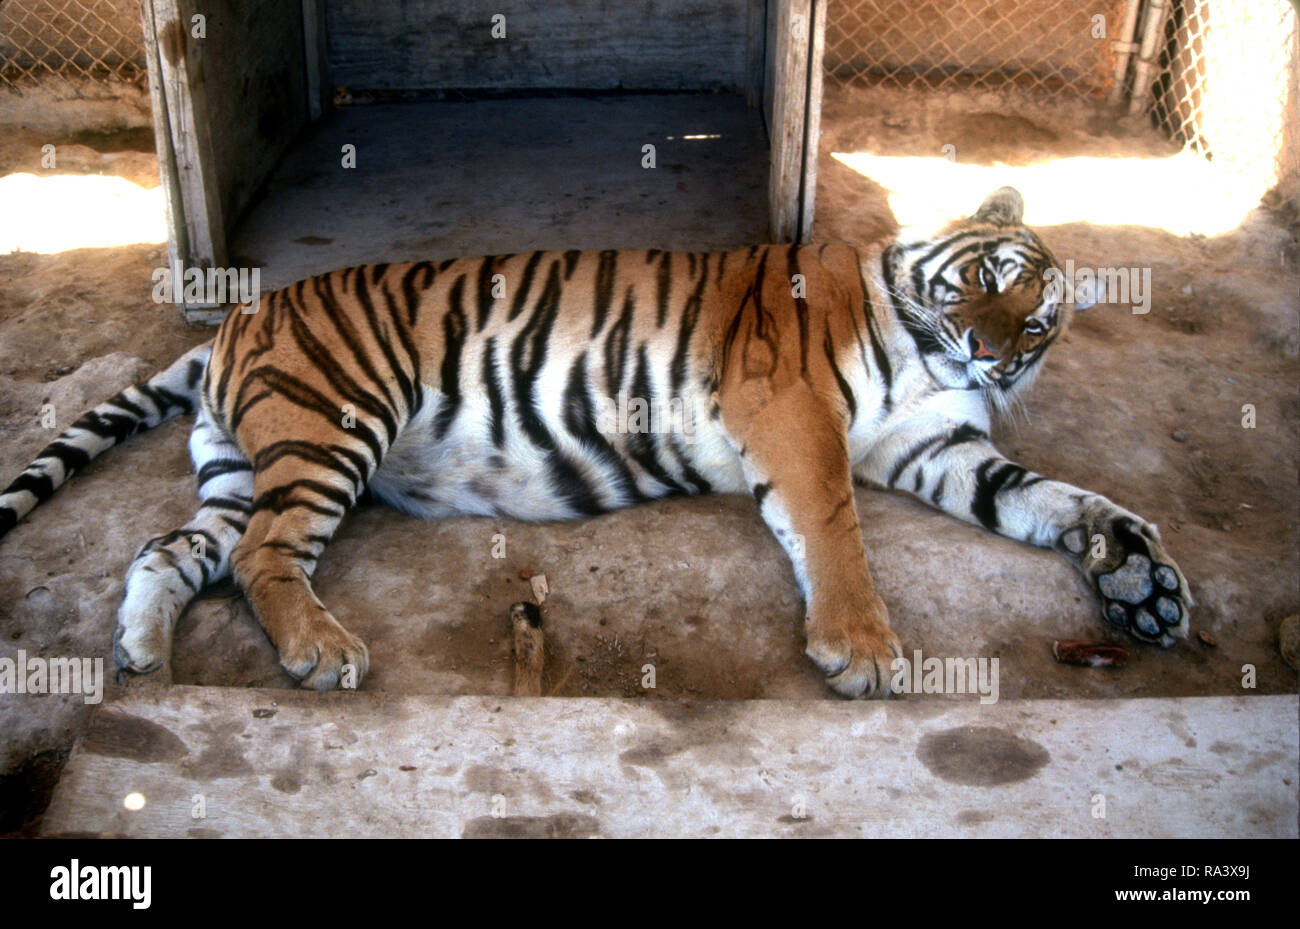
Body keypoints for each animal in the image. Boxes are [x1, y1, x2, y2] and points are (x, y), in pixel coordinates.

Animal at [0, 187, 1194, 698]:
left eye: (1039, 320)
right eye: (990, 277)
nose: (997, 355)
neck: (927, 352)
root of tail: (235, 317)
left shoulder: (937, 449)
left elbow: (1055, 497)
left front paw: (1144, 582)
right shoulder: (794, 412)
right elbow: (835, 530)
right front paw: (860, 647)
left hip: (246, 464)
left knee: (171, 548)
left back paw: (143, 654)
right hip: (329, 423)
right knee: (259, 557)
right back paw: (321, 652)